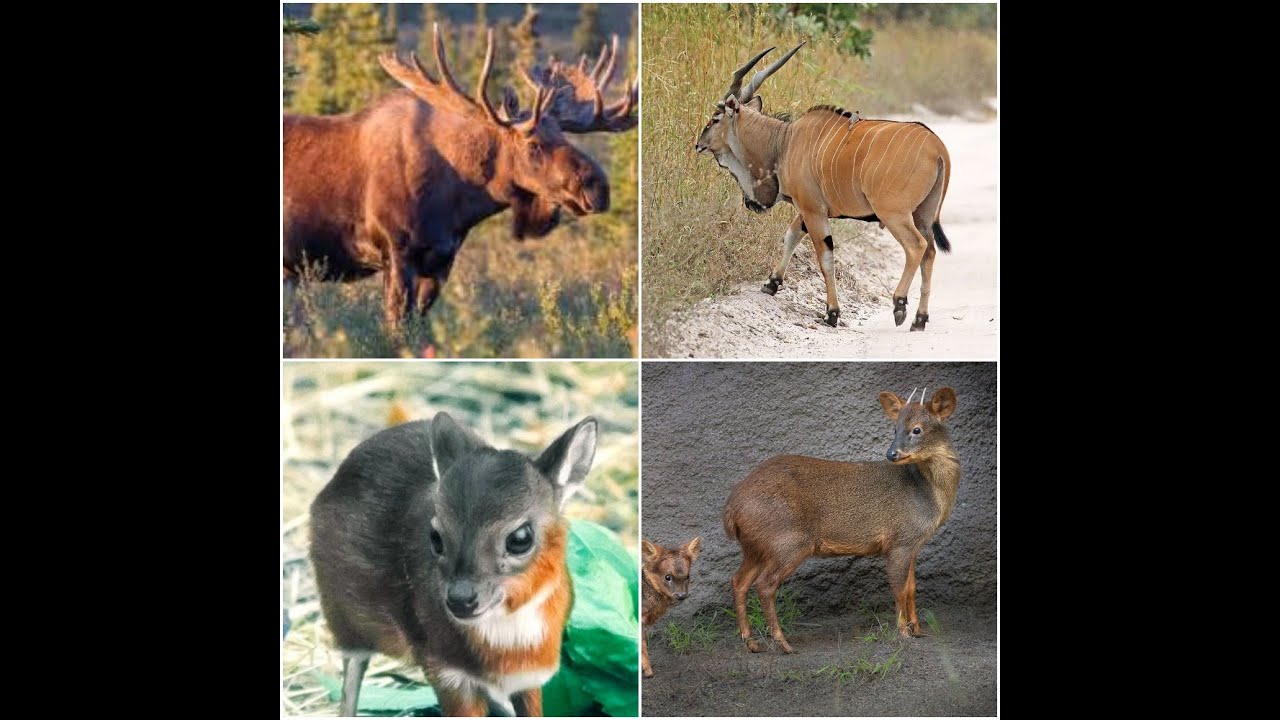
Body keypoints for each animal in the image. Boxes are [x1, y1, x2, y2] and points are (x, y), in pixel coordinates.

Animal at [283, 25, 637, 330]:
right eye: (534, 144)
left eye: (564, 136)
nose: (599, 188)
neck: (456, 201)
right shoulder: (396, 251)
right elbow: (397, 328)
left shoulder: (441, 261)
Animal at [310, 412, 599, 716]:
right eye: (436, 536)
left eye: (521, 538)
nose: (461, 599)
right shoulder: (445, 671)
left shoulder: (529, 677)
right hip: (343, 616)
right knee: (352, 673)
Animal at [695, 44, 951, 330]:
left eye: (715, 118)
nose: (698, 144)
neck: (783, 141)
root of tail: (937, 149)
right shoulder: (808, 210)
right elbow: (791, 236)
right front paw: (771, 284)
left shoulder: (813, 210)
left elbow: (825, 257)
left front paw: (832, 313)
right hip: (923, 216)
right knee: (930, 252)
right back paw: (920, 319)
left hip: (895, 215)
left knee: (916, 247)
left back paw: (899, 305)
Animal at [722, 387, 959, 653]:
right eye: (894, 428)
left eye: (917, 429)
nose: (892, 454)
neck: (929, 496)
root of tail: (732, 508)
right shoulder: (900, 541)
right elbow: (898, 589)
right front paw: (903, 633)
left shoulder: (913, 545)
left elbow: (911, 588)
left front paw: (917, 630)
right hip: (788, 541)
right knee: (765, 585)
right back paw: (783, 643)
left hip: (756, 546)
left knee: (739, 581)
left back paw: (750, 641)